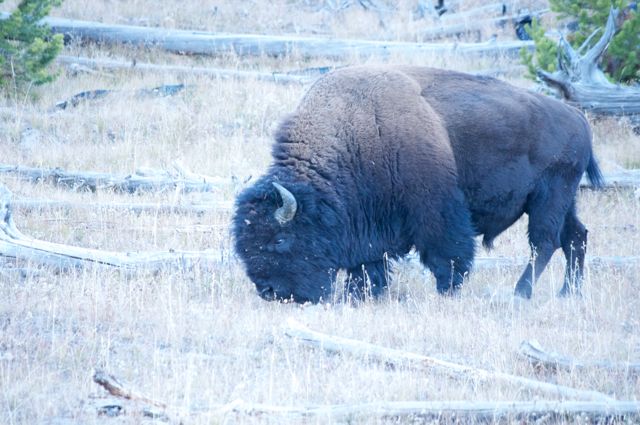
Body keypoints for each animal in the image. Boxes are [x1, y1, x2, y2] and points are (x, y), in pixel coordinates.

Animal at [233, 66, 603, 303]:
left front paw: (447, 291)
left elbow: (447, 254)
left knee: (544, 243)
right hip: (565, 200)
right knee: (575, 237)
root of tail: (579, 118)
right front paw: (361, 296)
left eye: (280, 239)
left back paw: (521, 294)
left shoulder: (436, 210)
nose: (270, 292)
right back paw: (569, 294)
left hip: (548, 197)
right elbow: (369, 264)